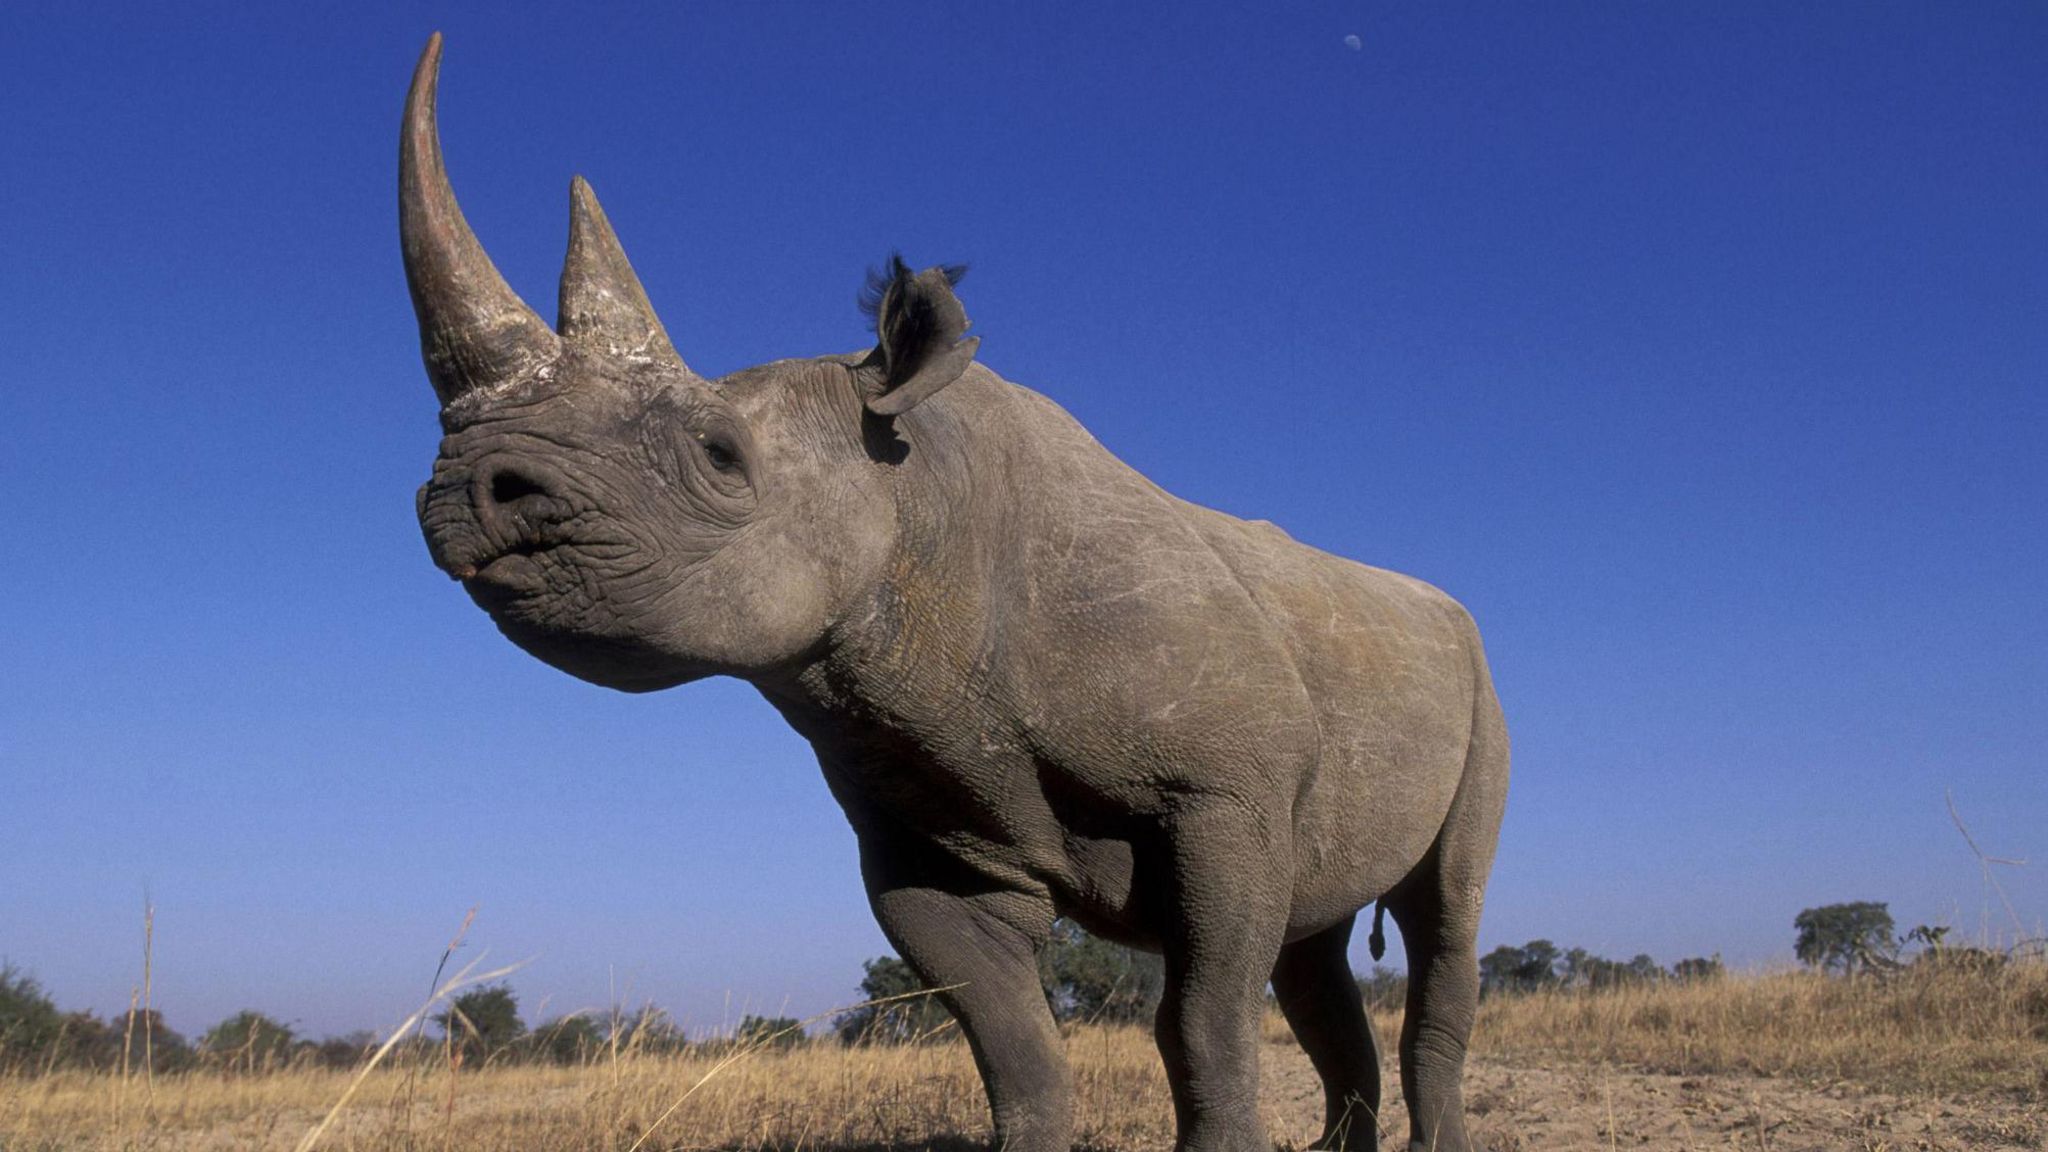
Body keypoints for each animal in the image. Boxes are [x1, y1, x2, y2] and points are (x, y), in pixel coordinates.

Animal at [401, 35, 1508, 1152]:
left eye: (718, 456)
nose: (468, 490)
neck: (915, 499)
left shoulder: (1224, 793)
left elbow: (1203, 1020)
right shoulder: (928, 846)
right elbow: (1010, 1045)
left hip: (1475, 681)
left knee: (1440, 919)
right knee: (1313, 939)